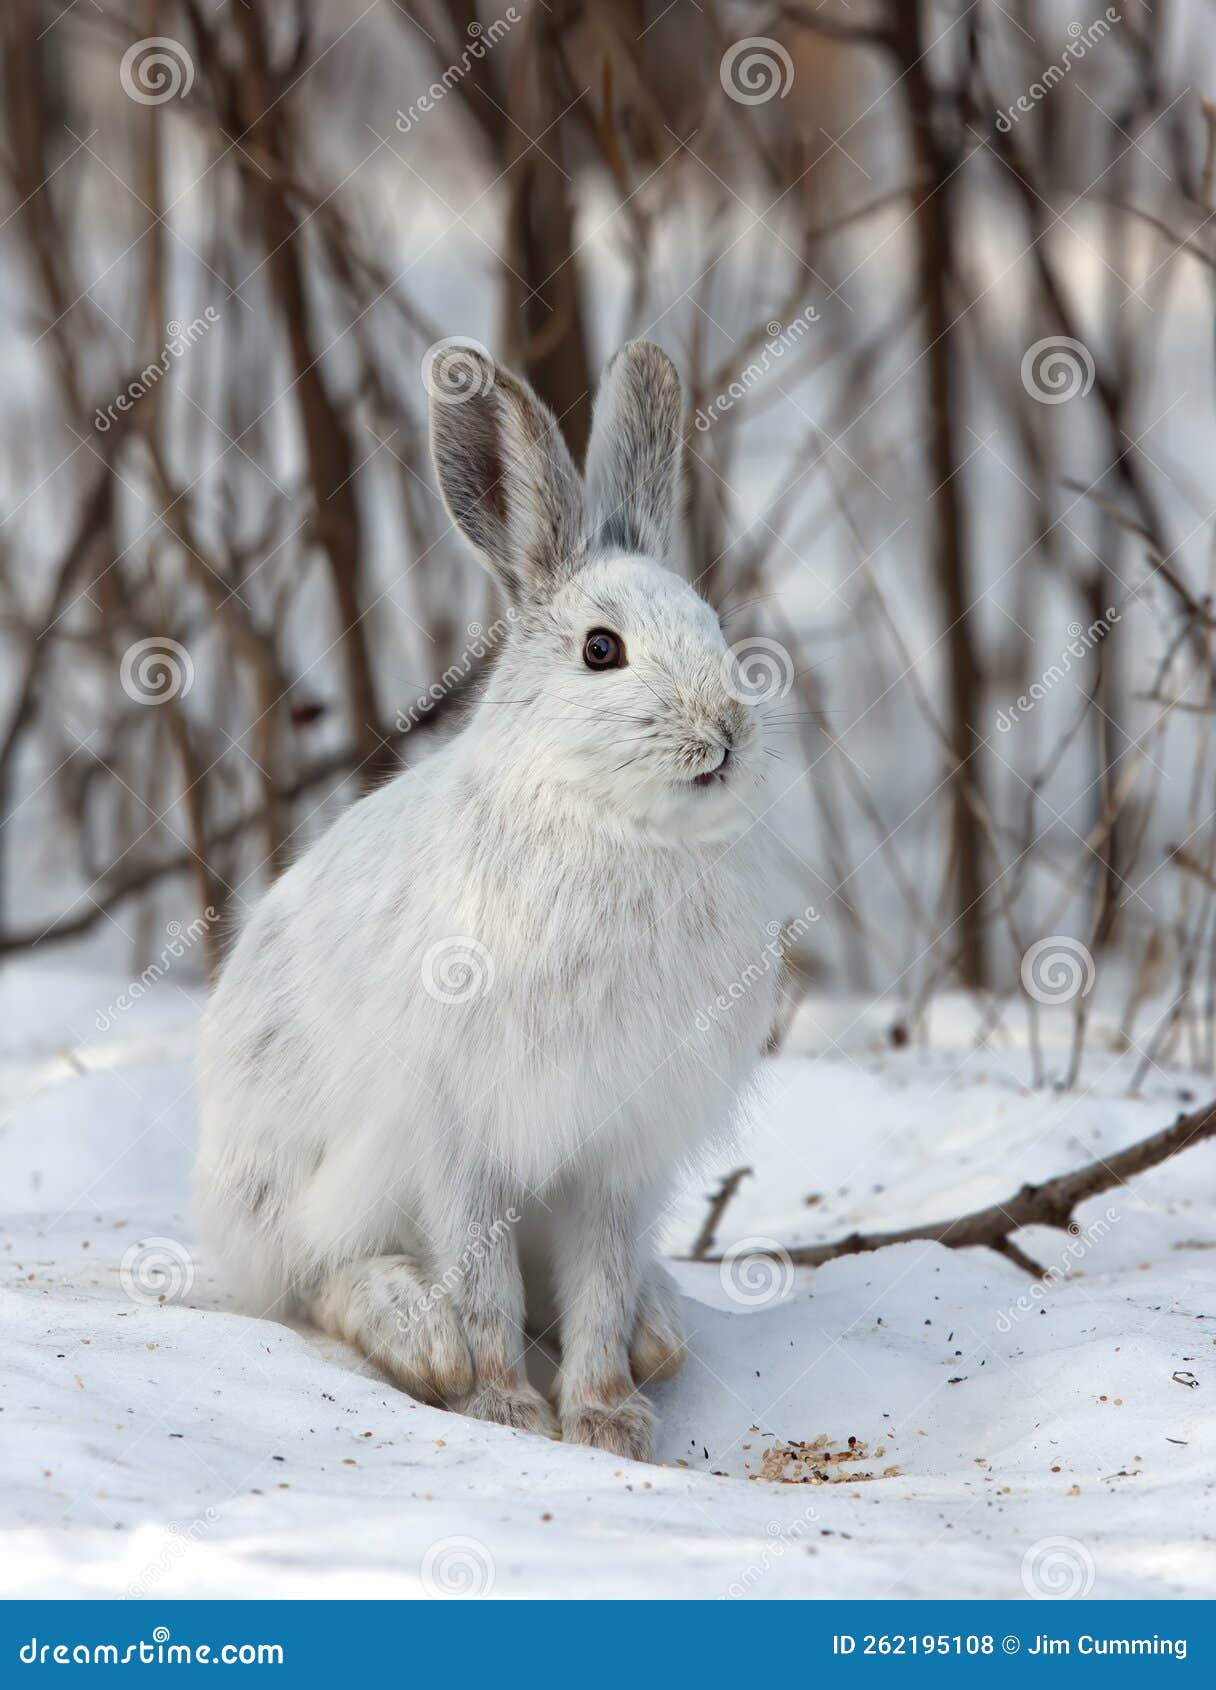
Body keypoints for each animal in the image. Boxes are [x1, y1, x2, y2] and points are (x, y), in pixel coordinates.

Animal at [195, 338, 780, 1462]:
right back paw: (421, 1340)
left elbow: (597, 1284)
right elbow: (483, 1283)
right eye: (601, 649)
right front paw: (504, 1408)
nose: (724, 736)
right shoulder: (458, 1137)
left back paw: (656, 1336)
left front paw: (605, 1423)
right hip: (312, 1185)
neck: (613, 825)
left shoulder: (614, 1153)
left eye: (716, 626)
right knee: (319, 1276)